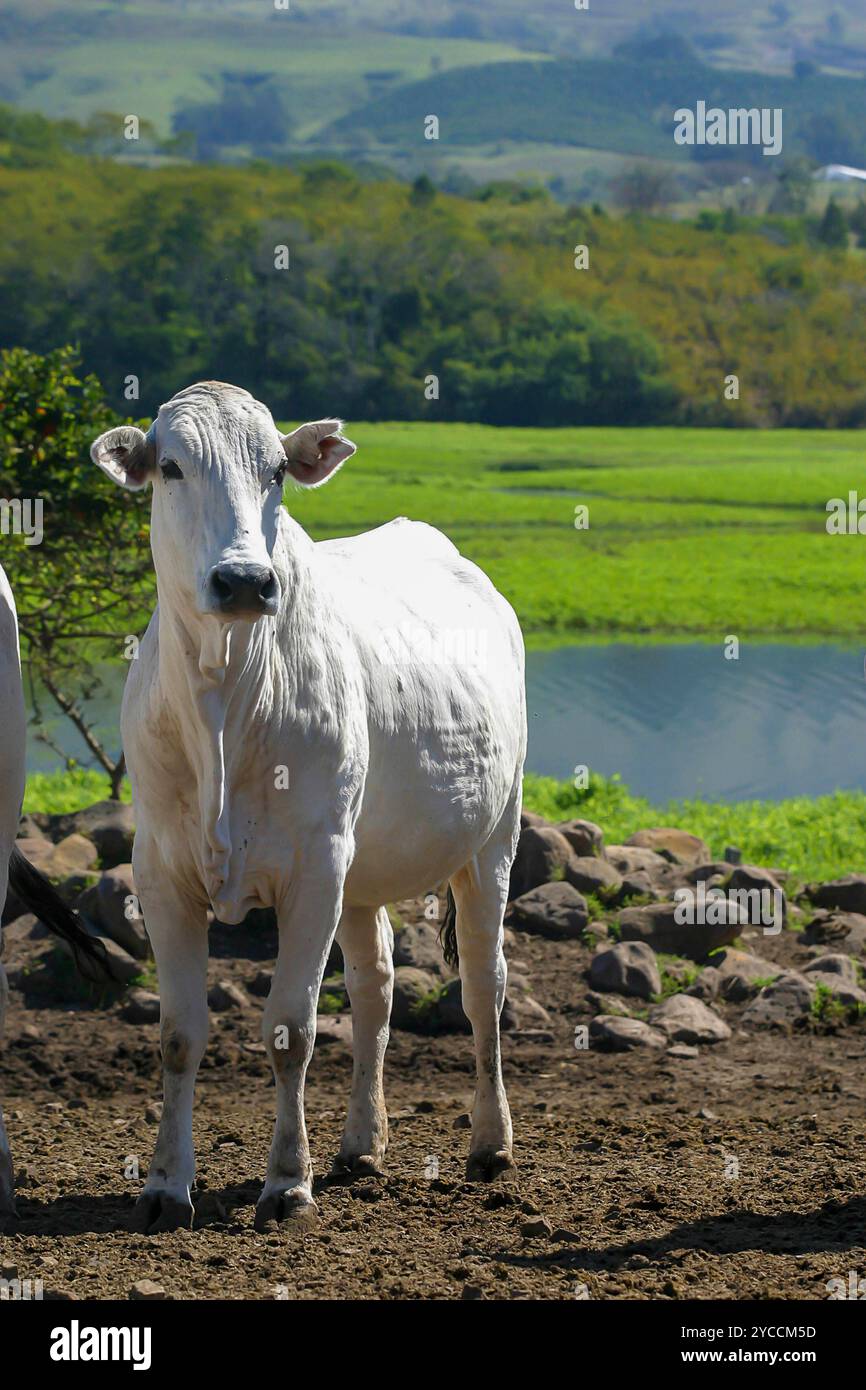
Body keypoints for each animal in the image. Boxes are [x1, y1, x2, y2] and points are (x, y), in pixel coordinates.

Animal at [90, 382, 527, 1233]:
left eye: (276, 471)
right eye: (170, 466)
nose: (243, 581)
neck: (226, 694)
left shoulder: (314, 868)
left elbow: (290, 1031)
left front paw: (288, 1182)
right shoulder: (161, 869)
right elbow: (178, 1035)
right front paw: (164, 1185)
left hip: (493, 835)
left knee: (483, 984)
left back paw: (490, 1143)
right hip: (359, 871)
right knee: (375, 986)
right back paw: (361, 1146)